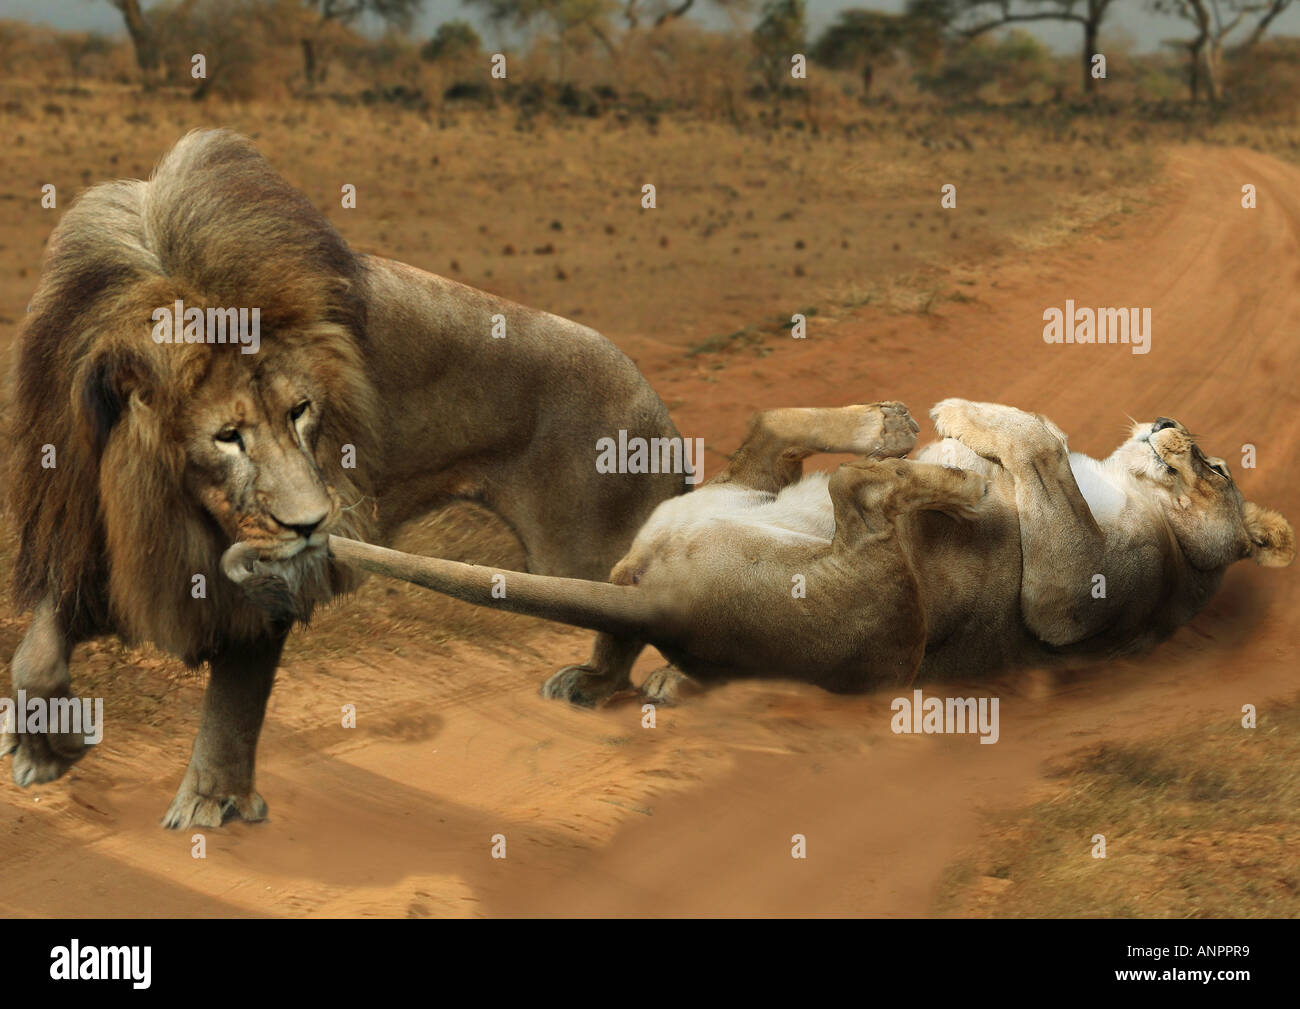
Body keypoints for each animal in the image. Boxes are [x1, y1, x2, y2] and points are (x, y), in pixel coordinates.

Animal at [2, 129, 685, 828]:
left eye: (301, 411)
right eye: (228, 436)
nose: (311, 525)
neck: (158, 500)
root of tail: (654, 402)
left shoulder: (264, 587)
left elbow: (232, 703)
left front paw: (211, 801)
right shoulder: (82, 536)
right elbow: (35, 653)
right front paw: (46, 749)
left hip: (573, 554)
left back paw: (631, 683)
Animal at [323, 399, 1295, 703]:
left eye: (1213, 465)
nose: (1164, 420)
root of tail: (673, 603)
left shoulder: (1073, 602)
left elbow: (1042, 447)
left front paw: (980, 428)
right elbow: (1048, 446)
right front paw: (974, 429)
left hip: (890, 605)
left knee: (860, 497)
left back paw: (942, 468)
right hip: (734, 496)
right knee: (780, 438)